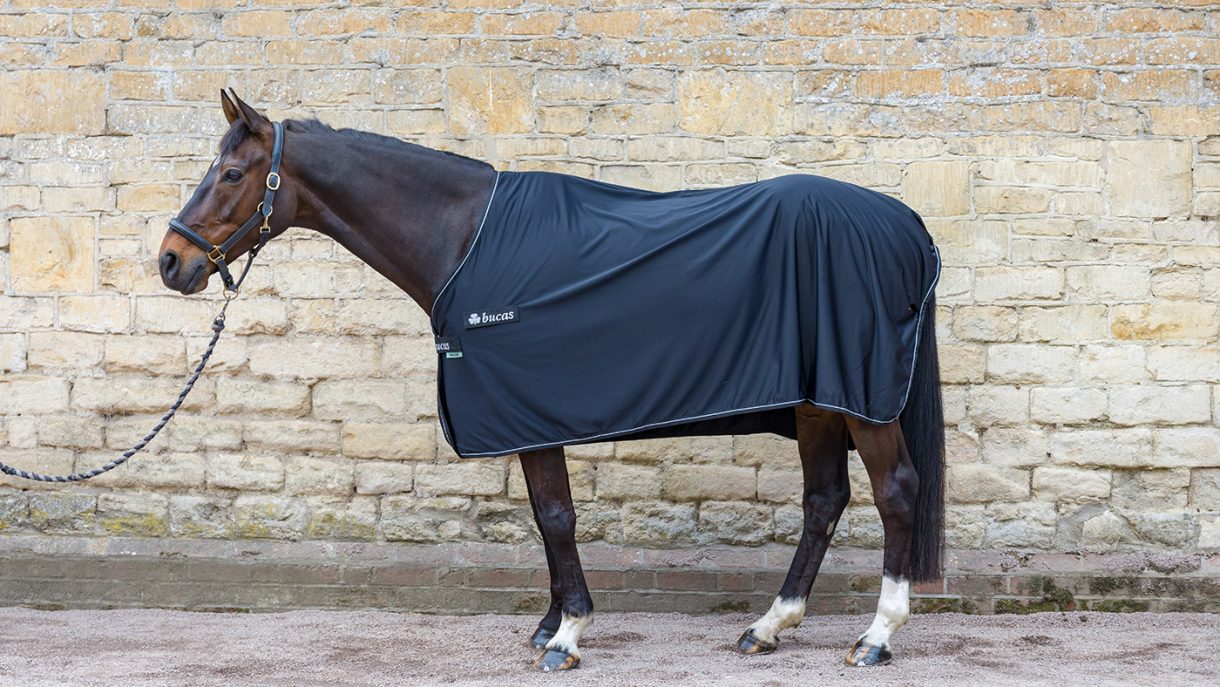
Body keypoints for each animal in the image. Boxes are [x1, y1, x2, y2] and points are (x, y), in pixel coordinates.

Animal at [160, 90, 945, 672]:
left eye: (232, 175)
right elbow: (545, 520)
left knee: (895, 491)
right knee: (824, 500)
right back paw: (769, 625)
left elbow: (556, 515)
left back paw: (877, 636)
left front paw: (567, 634)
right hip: (818, 401)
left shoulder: (530, 412)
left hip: (862, 403)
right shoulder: (524, 416)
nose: (171, 260)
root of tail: (907, 224)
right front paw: (548, 623)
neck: (464, 242)